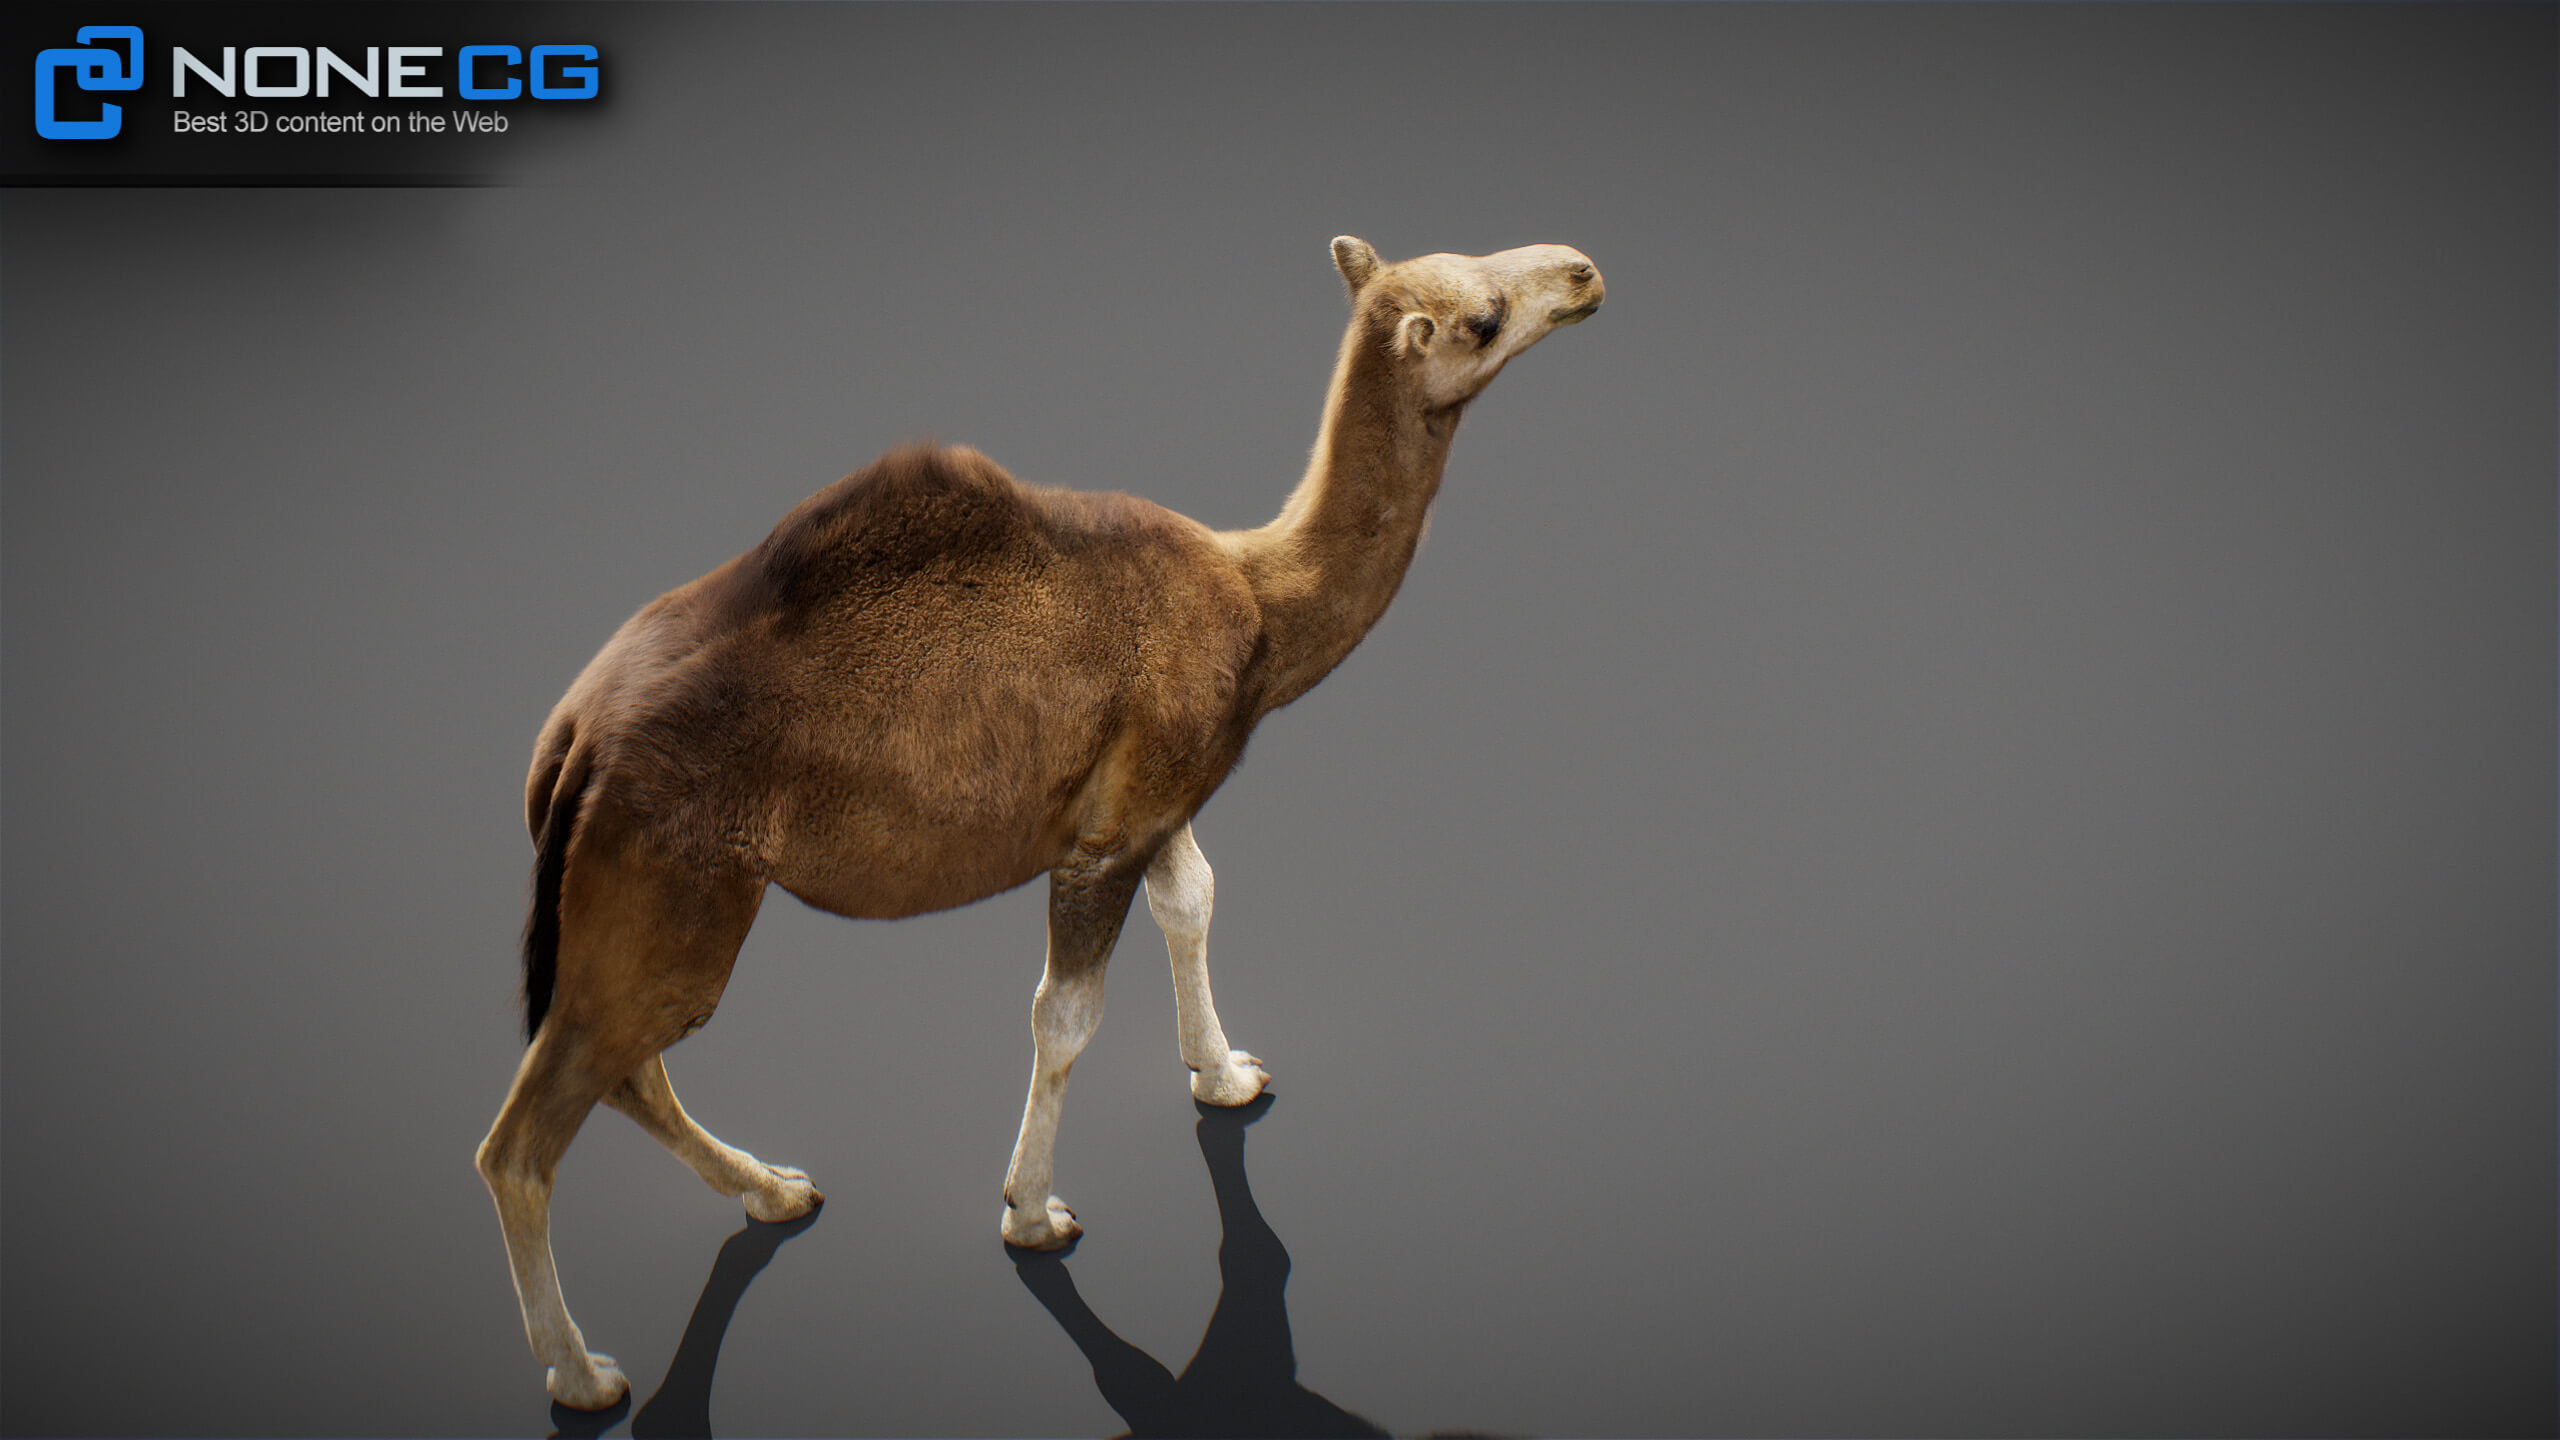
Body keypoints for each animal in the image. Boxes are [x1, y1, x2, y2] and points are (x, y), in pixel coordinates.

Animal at [475, 236, 1604, 1409]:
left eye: (1479, 270)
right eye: (1483, 315)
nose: (1580, 272)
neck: (1258, 599)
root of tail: (573, 741)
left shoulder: (1156, 797)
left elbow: (1194, 903)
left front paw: (1226, 1076)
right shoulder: (1106, 835)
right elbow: (1065, 1014)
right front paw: (1031, 1214)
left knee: (628, 1070)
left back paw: (776, 1191)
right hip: (669, 882)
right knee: (531, 1134)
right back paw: (583, 1374)